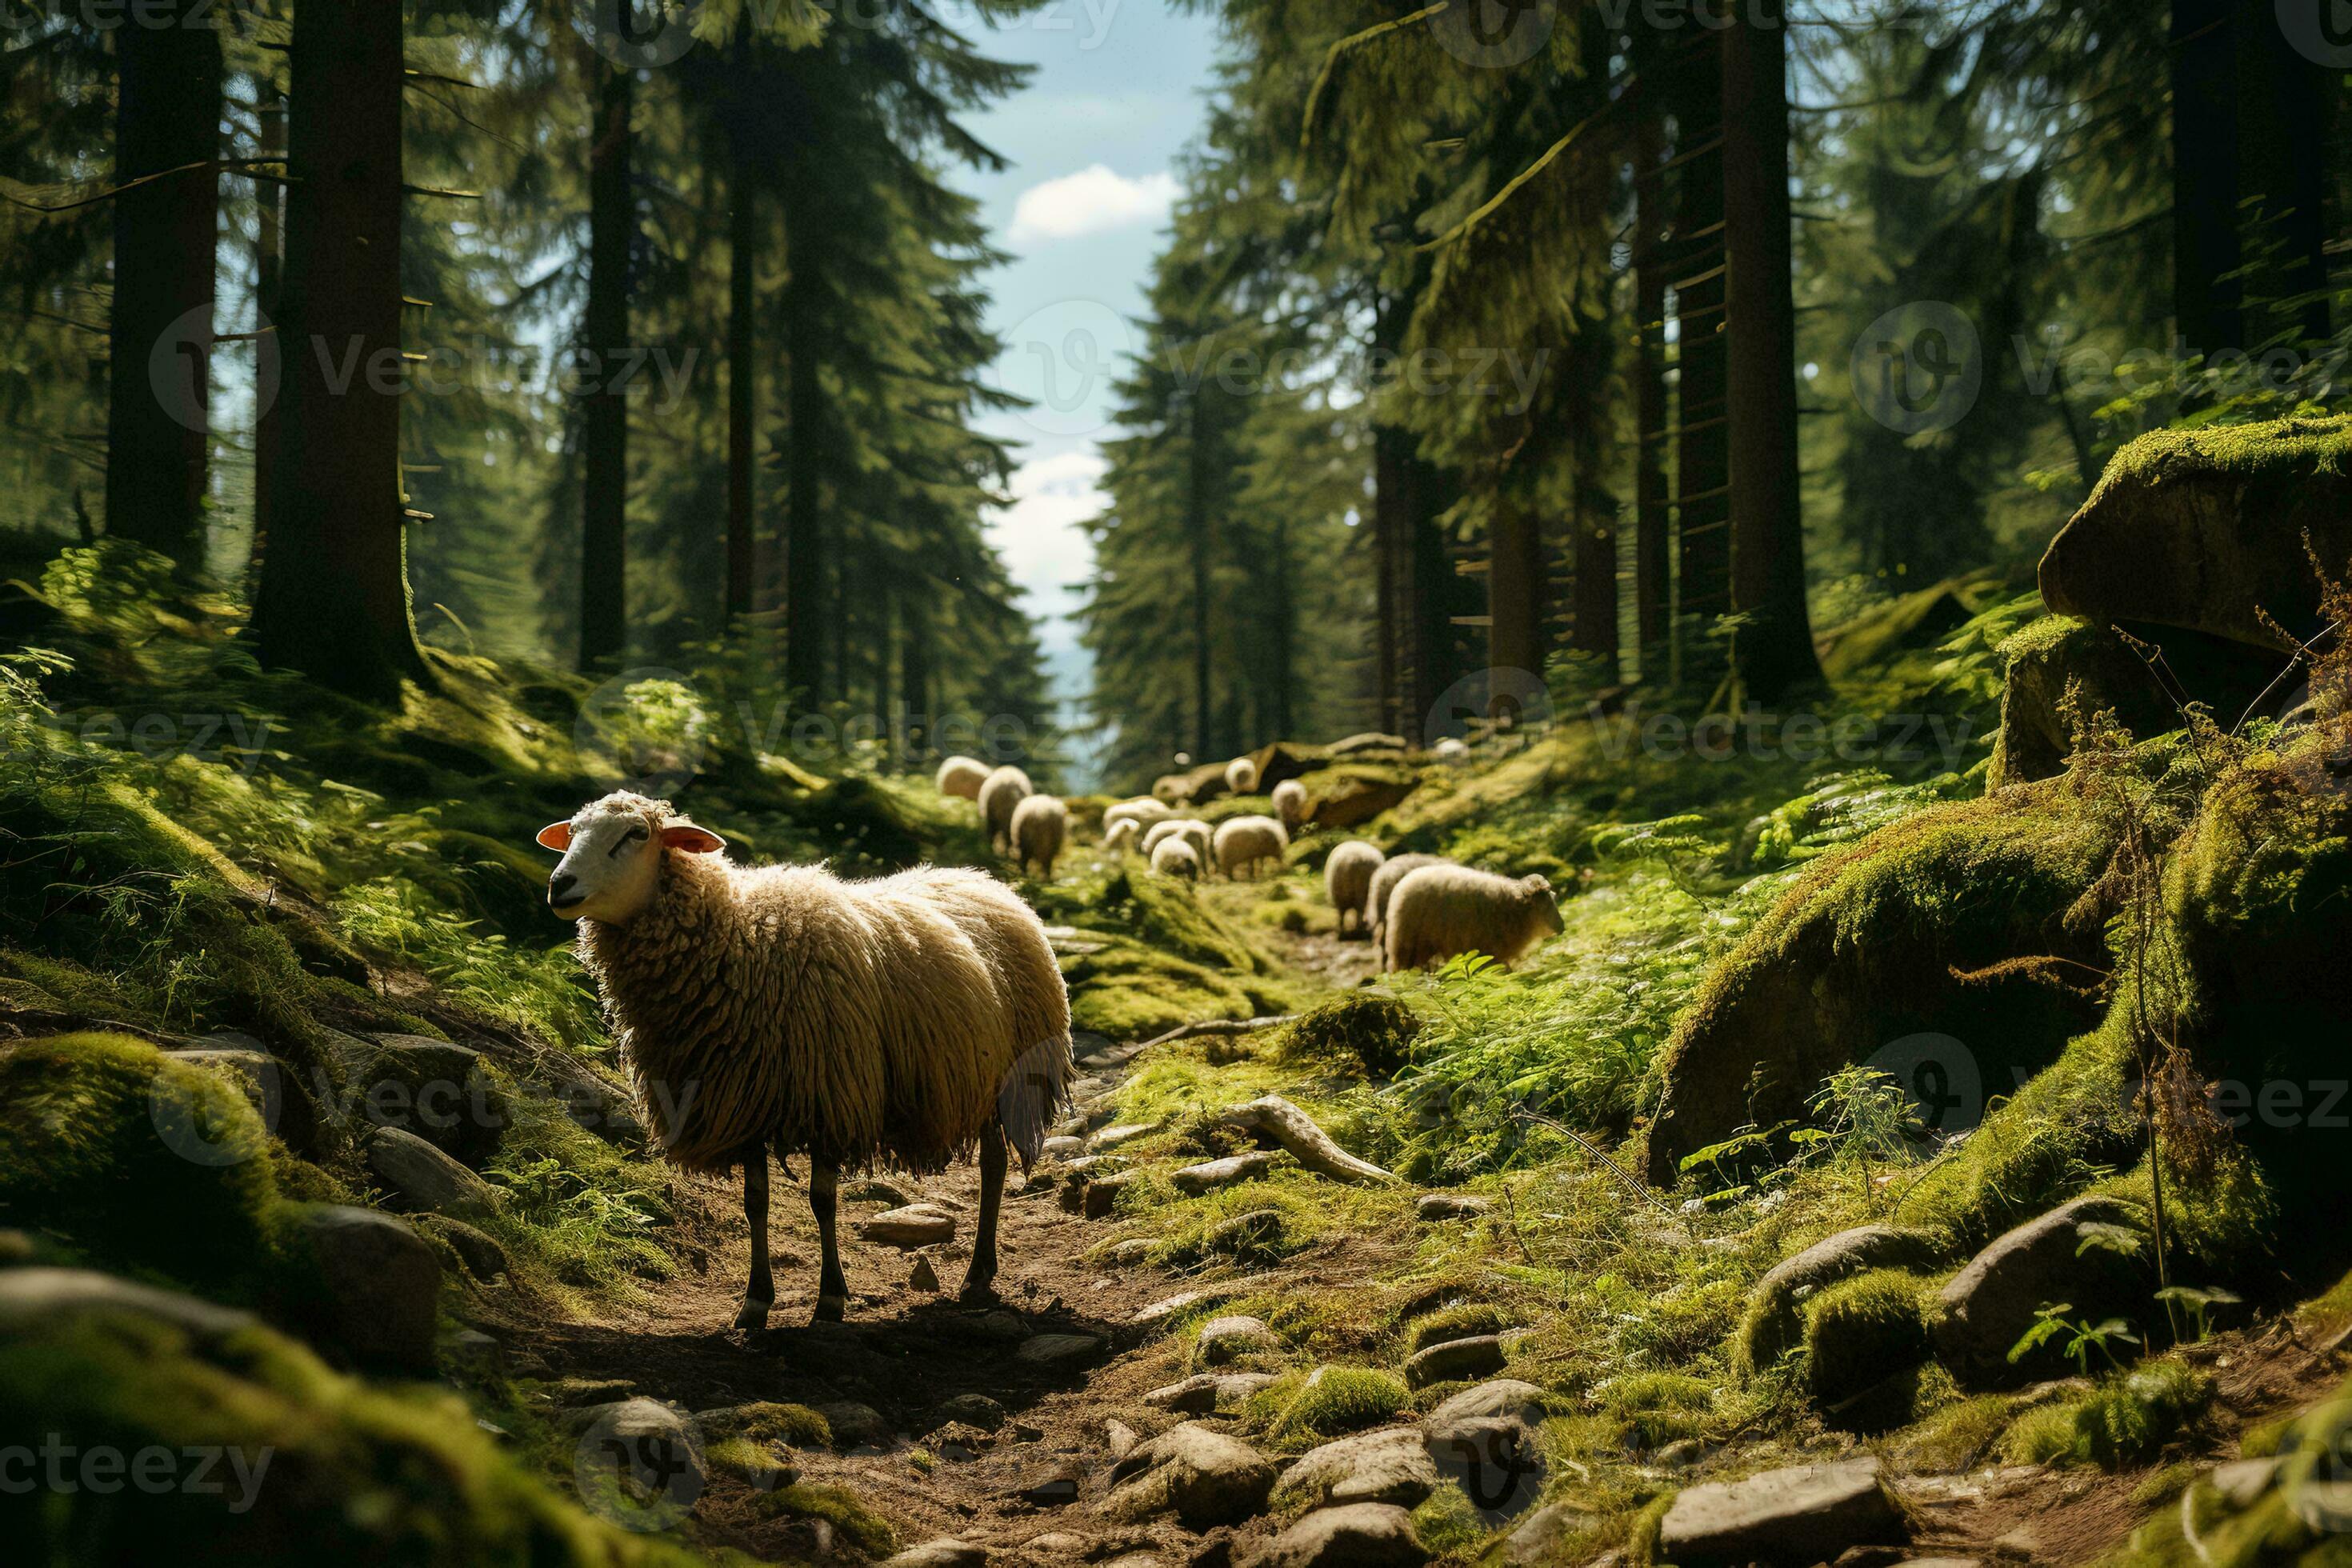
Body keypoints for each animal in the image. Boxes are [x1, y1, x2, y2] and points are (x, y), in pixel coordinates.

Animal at [538, 792, 1072, 1326]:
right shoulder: (739, 1102)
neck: (739, 940)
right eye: (573, 832)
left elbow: (823, 1201)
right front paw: (755, 1301)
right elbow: (755, 1203)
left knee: (993, 1165)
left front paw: (830, 1298)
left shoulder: (831, 1095)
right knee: (995, 1159)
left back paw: (977, 1274)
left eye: (637, 834)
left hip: (1010, 1079)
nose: (559, 885)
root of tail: (980, 878)